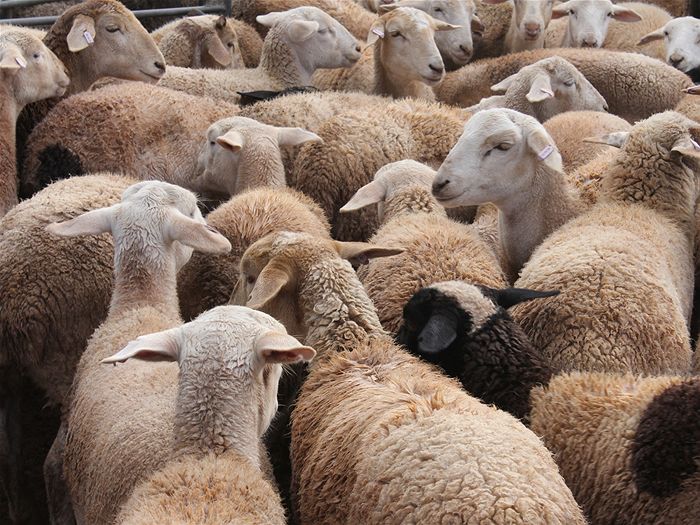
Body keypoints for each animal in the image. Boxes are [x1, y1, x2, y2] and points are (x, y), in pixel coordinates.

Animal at [0, 174, 136, 524]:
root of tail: (18, 288)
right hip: (70, 366)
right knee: (55, 465)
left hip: (8, 370)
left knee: (7, 448)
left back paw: (17, 511)